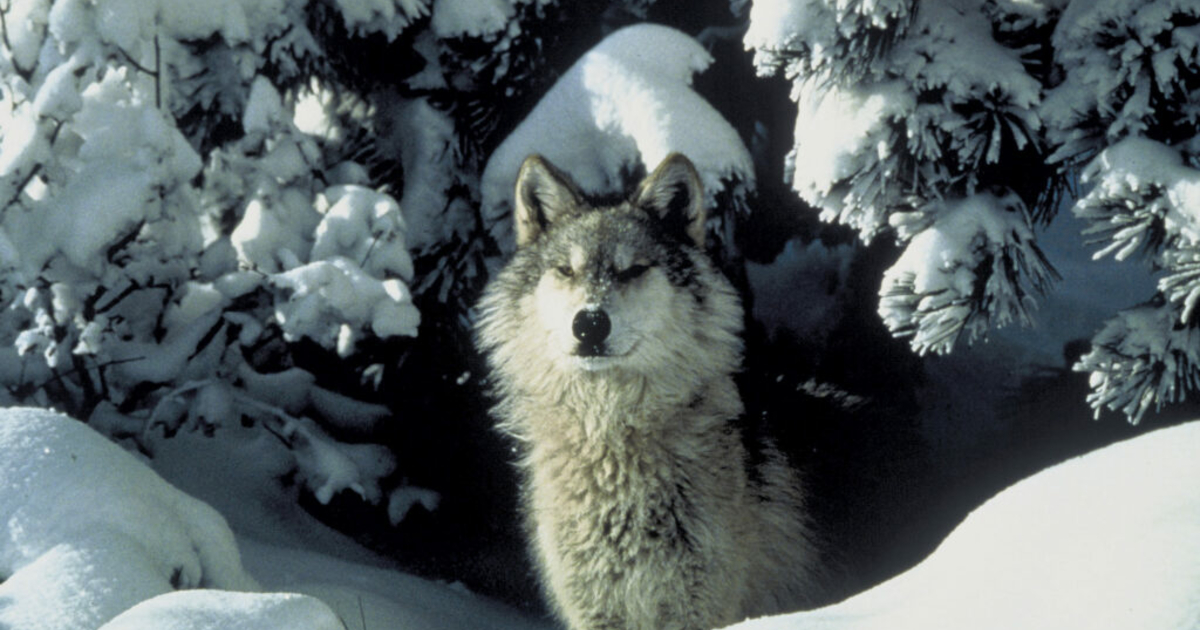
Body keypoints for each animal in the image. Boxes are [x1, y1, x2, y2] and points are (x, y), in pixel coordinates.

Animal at [475, 153, 821, 630]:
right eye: (566, 270)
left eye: (633, 270)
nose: (589, 323)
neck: (609, 439)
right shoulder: (596, 612)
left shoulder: (698, 609)